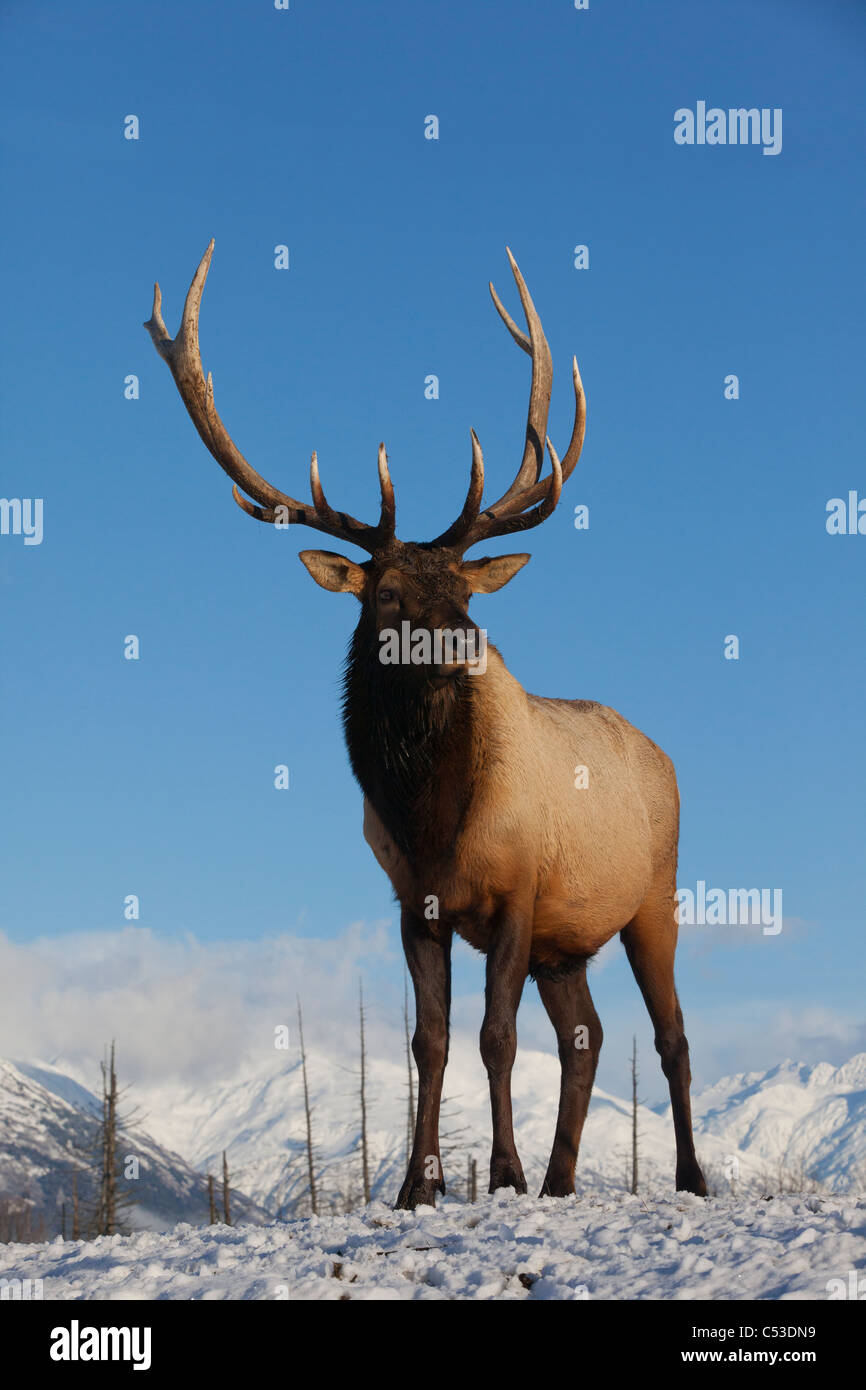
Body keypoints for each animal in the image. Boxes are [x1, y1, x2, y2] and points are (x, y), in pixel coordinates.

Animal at [145, 243, 708, 1208]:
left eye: (467, 594)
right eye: (390, 597)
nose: (469, 646)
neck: (431, 815)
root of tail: (664, 755)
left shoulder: (518, 893)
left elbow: (495, 1038)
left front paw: (502, 1177)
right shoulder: (415, 903)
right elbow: (429, 1044)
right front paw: (419, 1185)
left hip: (652, 900)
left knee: (670, 1038)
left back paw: (689, 1178)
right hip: (568, 944)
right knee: (588, 1038)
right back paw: (562, 1180)